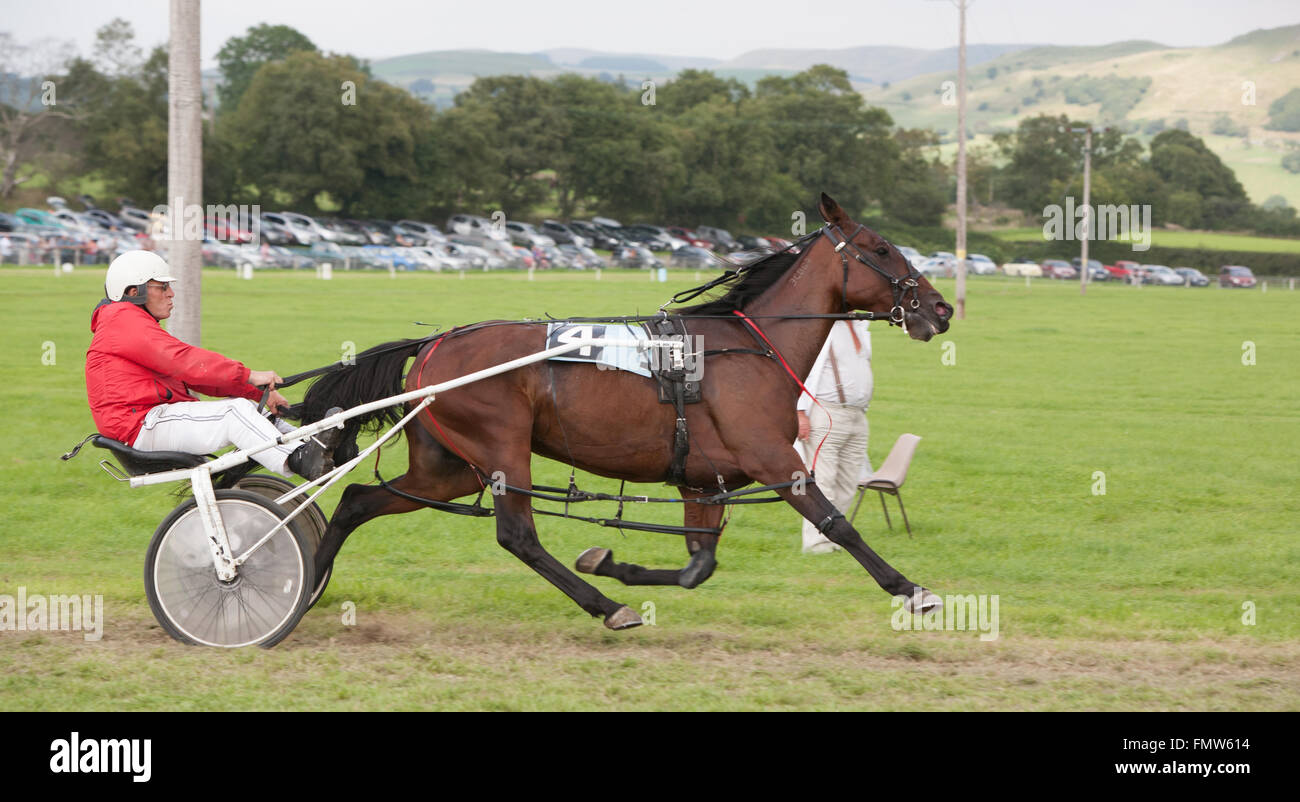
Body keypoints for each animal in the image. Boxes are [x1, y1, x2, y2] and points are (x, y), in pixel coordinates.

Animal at [297, 194, 953, 629]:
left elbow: (698, 564)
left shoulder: (703, 481)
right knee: (518, 535)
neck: (752, 346)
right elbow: (837, 523)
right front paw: (911, 588)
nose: (941, 308)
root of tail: (434, 344)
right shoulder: (771, 457)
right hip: (500, 446)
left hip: (449, 465)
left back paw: (308, 587)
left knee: (357, 500)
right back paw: (606, 608)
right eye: (880, 249)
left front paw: (610, 562)